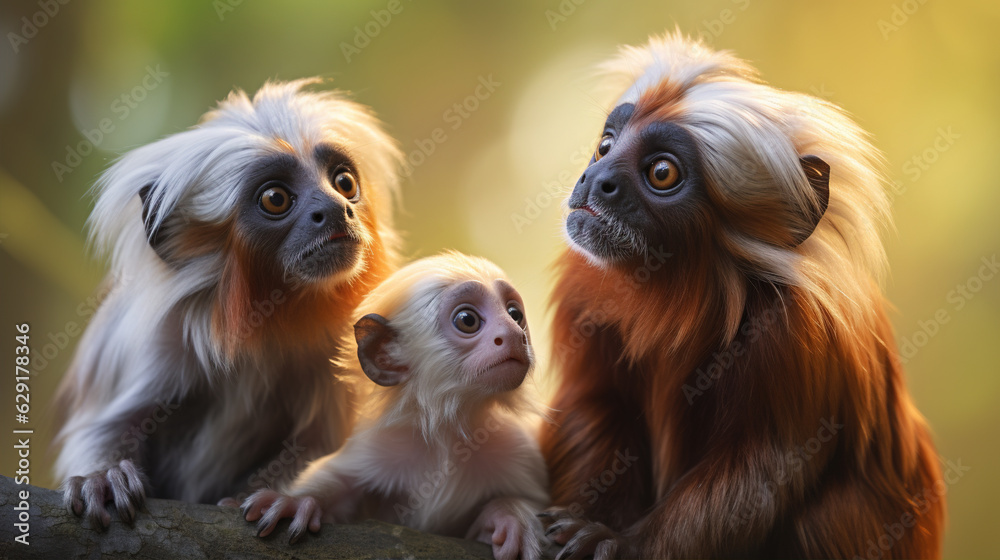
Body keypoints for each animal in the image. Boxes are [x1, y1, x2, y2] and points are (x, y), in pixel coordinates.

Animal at [52, 79, 404, 529]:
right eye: (276, 198)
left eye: (343, 183)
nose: (336, 210)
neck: (267, 313)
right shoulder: (160, 338)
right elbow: (104, 424)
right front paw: (104, 478)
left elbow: (322, 446)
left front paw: (286, 499)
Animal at [241, 252, 549, 560]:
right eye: (467, 320)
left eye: (514, 314)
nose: (515, 334)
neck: (449, 429)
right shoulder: (379, 445)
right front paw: (297, 500)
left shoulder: (515, 445)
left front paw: (509, 518)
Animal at [538, 32, 945, 559]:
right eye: (606, 147)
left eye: (662, 172)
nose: (595, 178)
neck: (679, 297)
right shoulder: (586, 292)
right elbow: (593, 406)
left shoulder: (798, 329)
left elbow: (765, 470)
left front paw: (623, 543)